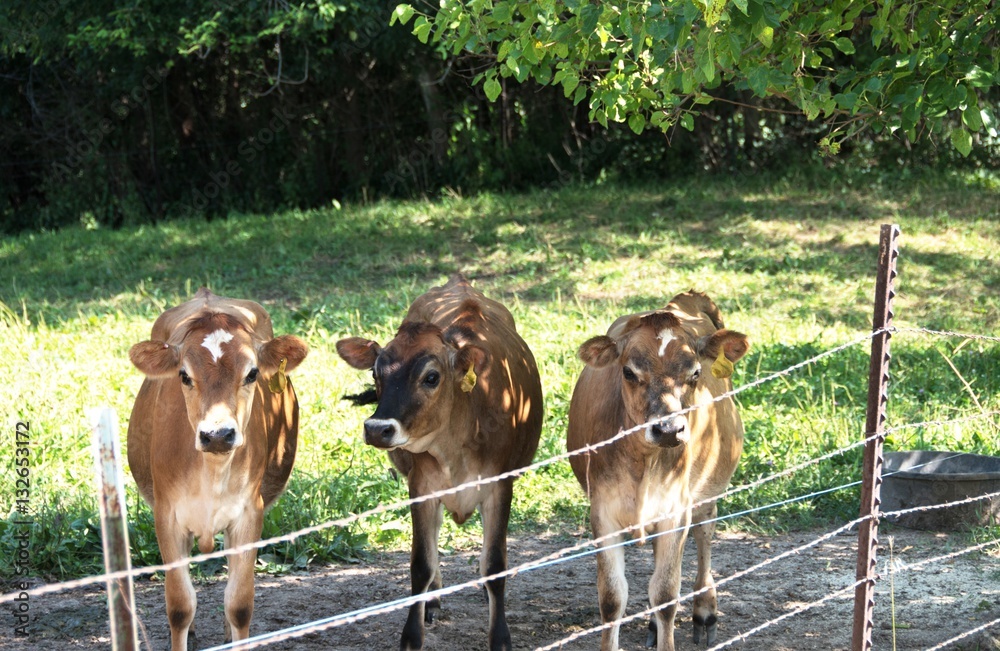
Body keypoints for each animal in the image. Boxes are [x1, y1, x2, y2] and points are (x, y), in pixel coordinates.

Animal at [126, 288, 308, 651]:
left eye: (252, 373)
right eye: (184, 376)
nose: (218, 434)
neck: (211, 473)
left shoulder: (250, 513)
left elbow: (239, 603)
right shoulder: (167, 516)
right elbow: (180, 605)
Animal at [336, 275, 543, 651]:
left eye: (431, 377)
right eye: (375, 374)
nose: (377, 428)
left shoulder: (499, 485)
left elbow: (494, 565)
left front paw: (500, 637)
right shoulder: (421, 486)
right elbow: (421, 563)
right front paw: (411, 636)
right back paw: (432, 600)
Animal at [567, 291, 749, 651]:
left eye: (695, 374)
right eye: (628, 372)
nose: (668, 429)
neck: (643, 462)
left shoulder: (677, 511)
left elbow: (665, 594)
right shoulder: (602, 512)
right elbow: (612, 598)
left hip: (707, 490)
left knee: (705, 534)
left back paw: (705, 609)